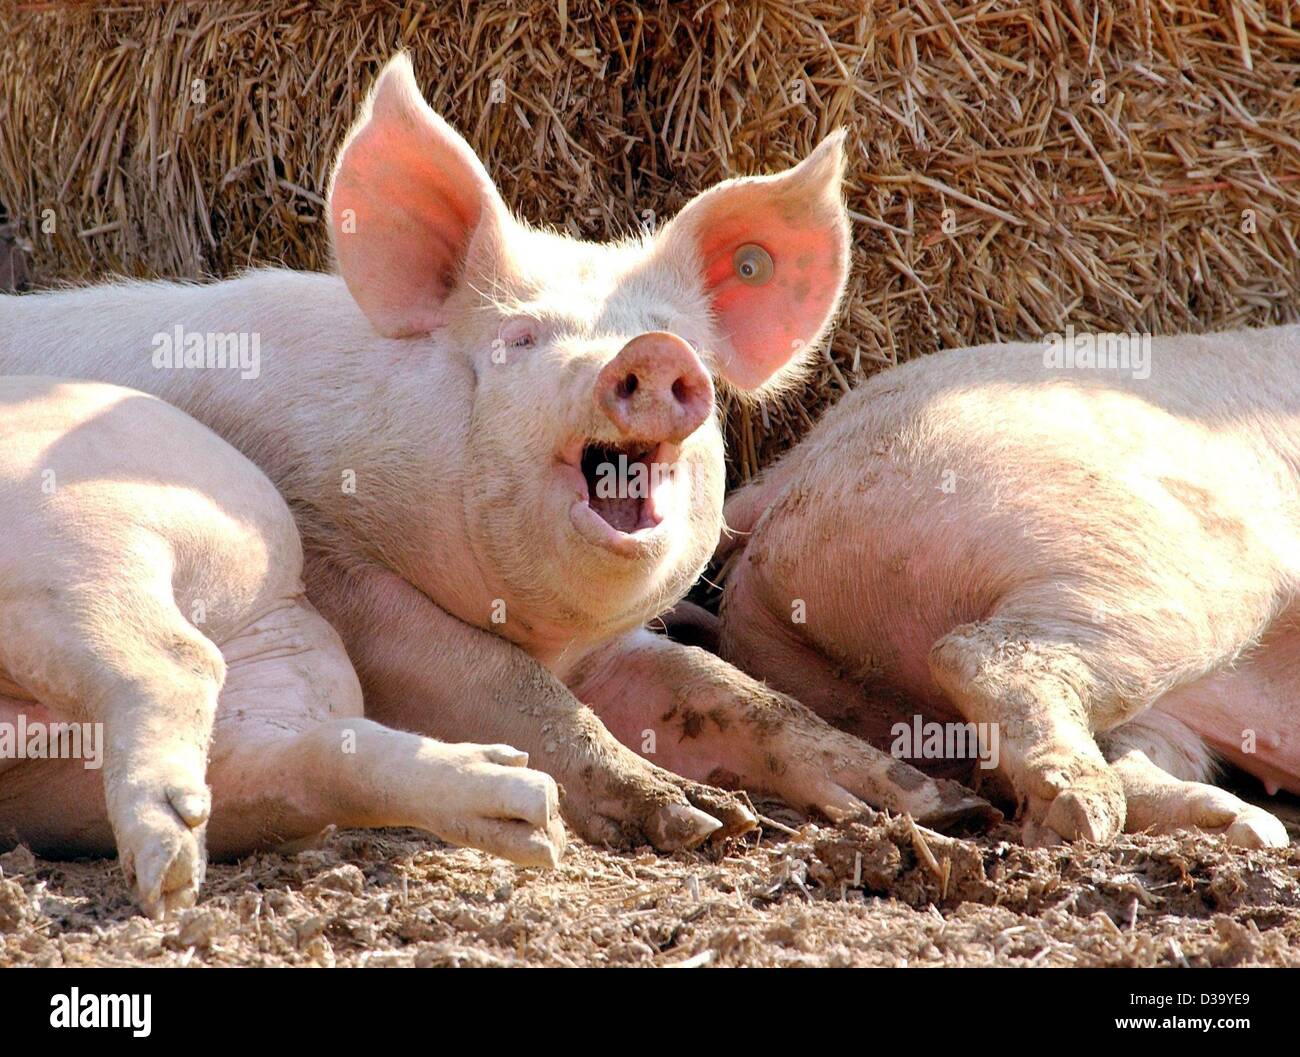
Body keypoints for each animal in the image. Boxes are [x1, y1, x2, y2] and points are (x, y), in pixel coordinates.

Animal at [0, 54, 994, 852]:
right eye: (520, 338)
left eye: (683, 341)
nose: (653, 357)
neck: (549, 632)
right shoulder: (340, 574)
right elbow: (508, 688)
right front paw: (705, 822)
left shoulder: (612, 648)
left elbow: (720, 687)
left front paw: (931, 803)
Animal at [715, 325, 1300, 849]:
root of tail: (800, 461)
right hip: (1148, 555)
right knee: (978, 654)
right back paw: (1084, 812)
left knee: (1126, 750)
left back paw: (1247, 827)